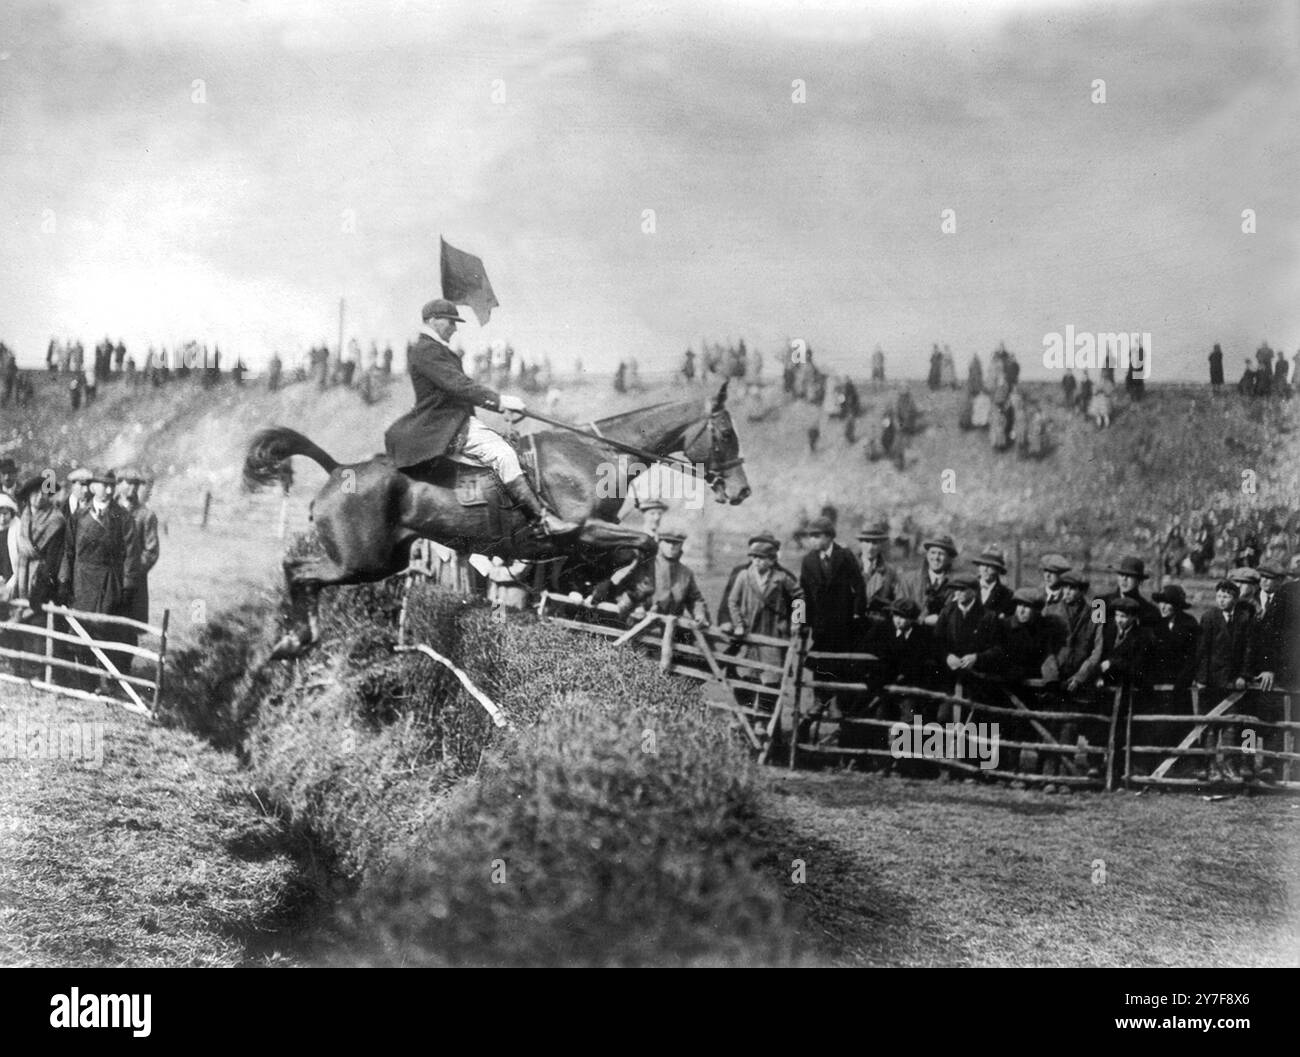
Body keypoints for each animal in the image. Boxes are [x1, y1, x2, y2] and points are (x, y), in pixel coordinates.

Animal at [243, 380, 751, 657]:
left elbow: (630, 552)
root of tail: (340, 469)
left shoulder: (583, 543)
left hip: (384, 560)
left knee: (304, 575)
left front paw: (606, 593)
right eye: (726, 434)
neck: (595, 454)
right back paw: (295, 638)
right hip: (360, 561)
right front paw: (617, 597)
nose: (742, 491)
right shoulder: (583, 531)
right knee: (298, 570)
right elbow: (642, 546)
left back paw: (294, 641)